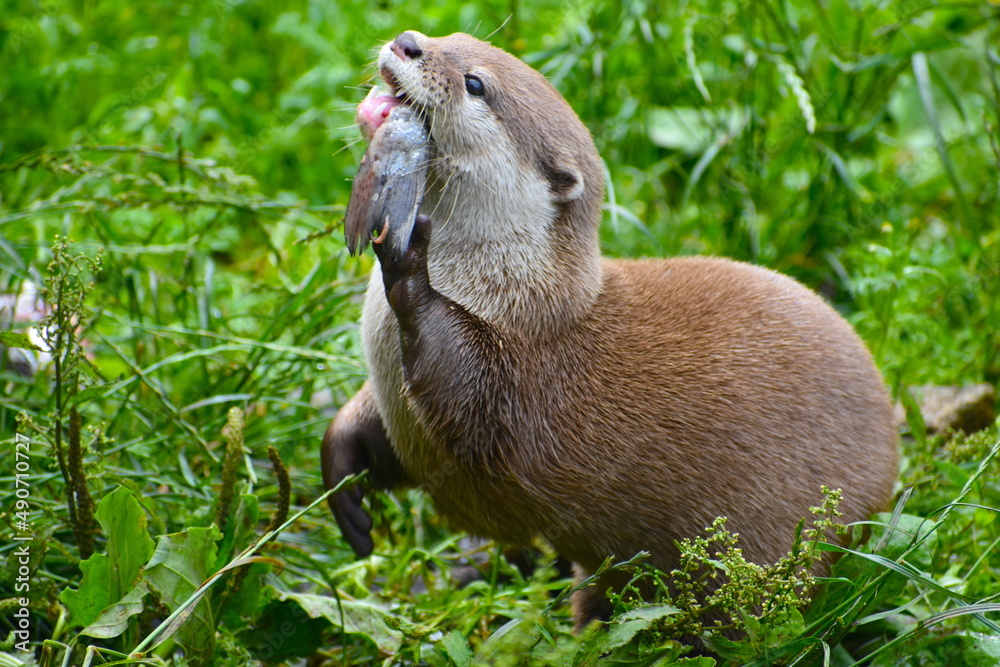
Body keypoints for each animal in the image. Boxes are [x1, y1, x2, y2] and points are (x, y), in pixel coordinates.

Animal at [322, 31, 898, 628]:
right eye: (455, 38)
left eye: (475, 83)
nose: (408, 41)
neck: (509, 293)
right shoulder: (398, 409)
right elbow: (371, 435)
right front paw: (344, 483)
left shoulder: (518, 381)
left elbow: (465, 393)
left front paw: (409, 261)